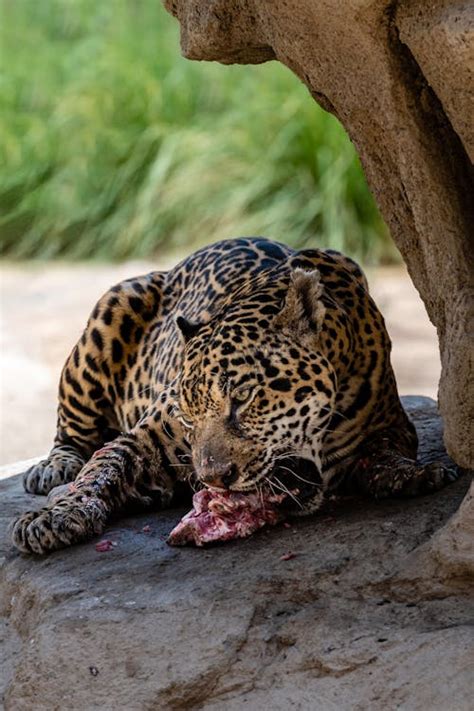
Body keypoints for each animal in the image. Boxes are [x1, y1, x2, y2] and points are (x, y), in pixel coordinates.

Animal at [11, 237, 458, 554]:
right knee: (73, 432)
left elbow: (381, 450)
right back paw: (54, 467)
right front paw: (54, 517)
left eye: (243, 397)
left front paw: (411, 473)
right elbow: (102, 466)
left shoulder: (391, 422)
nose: (214, 479)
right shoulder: (144, 439)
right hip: (109, 312)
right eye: (187, 417)